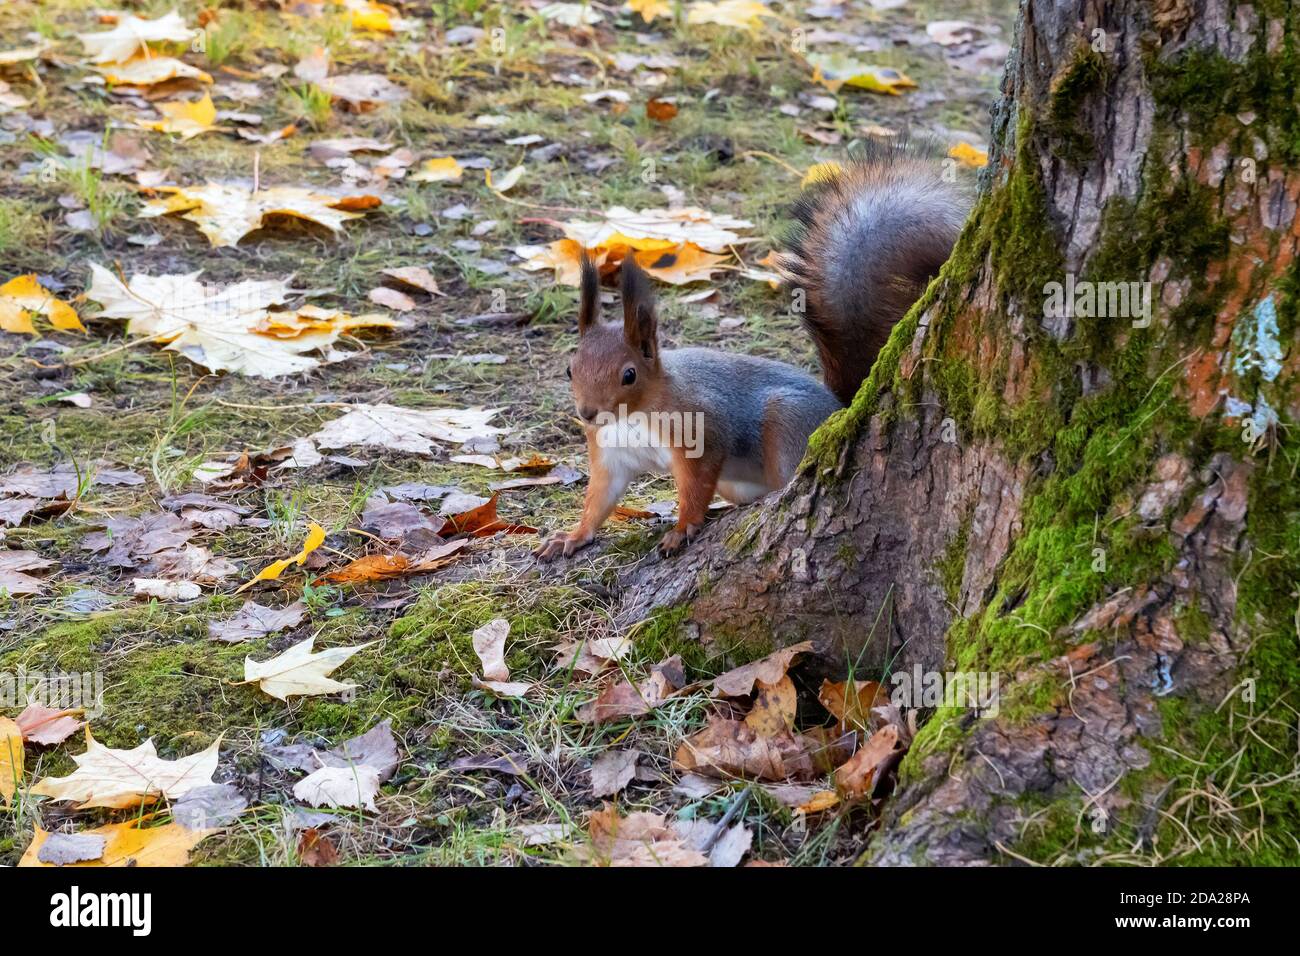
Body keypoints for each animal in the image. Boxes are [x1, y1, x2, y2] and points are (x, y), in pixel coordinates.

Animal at [535, 144, 971, 561]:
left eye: (629, 374)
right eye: (570, 370)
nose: (587, 413)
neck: (633, 415)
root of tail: (839, 405)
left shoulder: (700, 430)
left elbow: (695, 486)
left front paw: (682, 529)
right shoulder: (609, 454)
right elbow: (599, 500)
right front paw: (572, 536)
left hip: (787, 422)